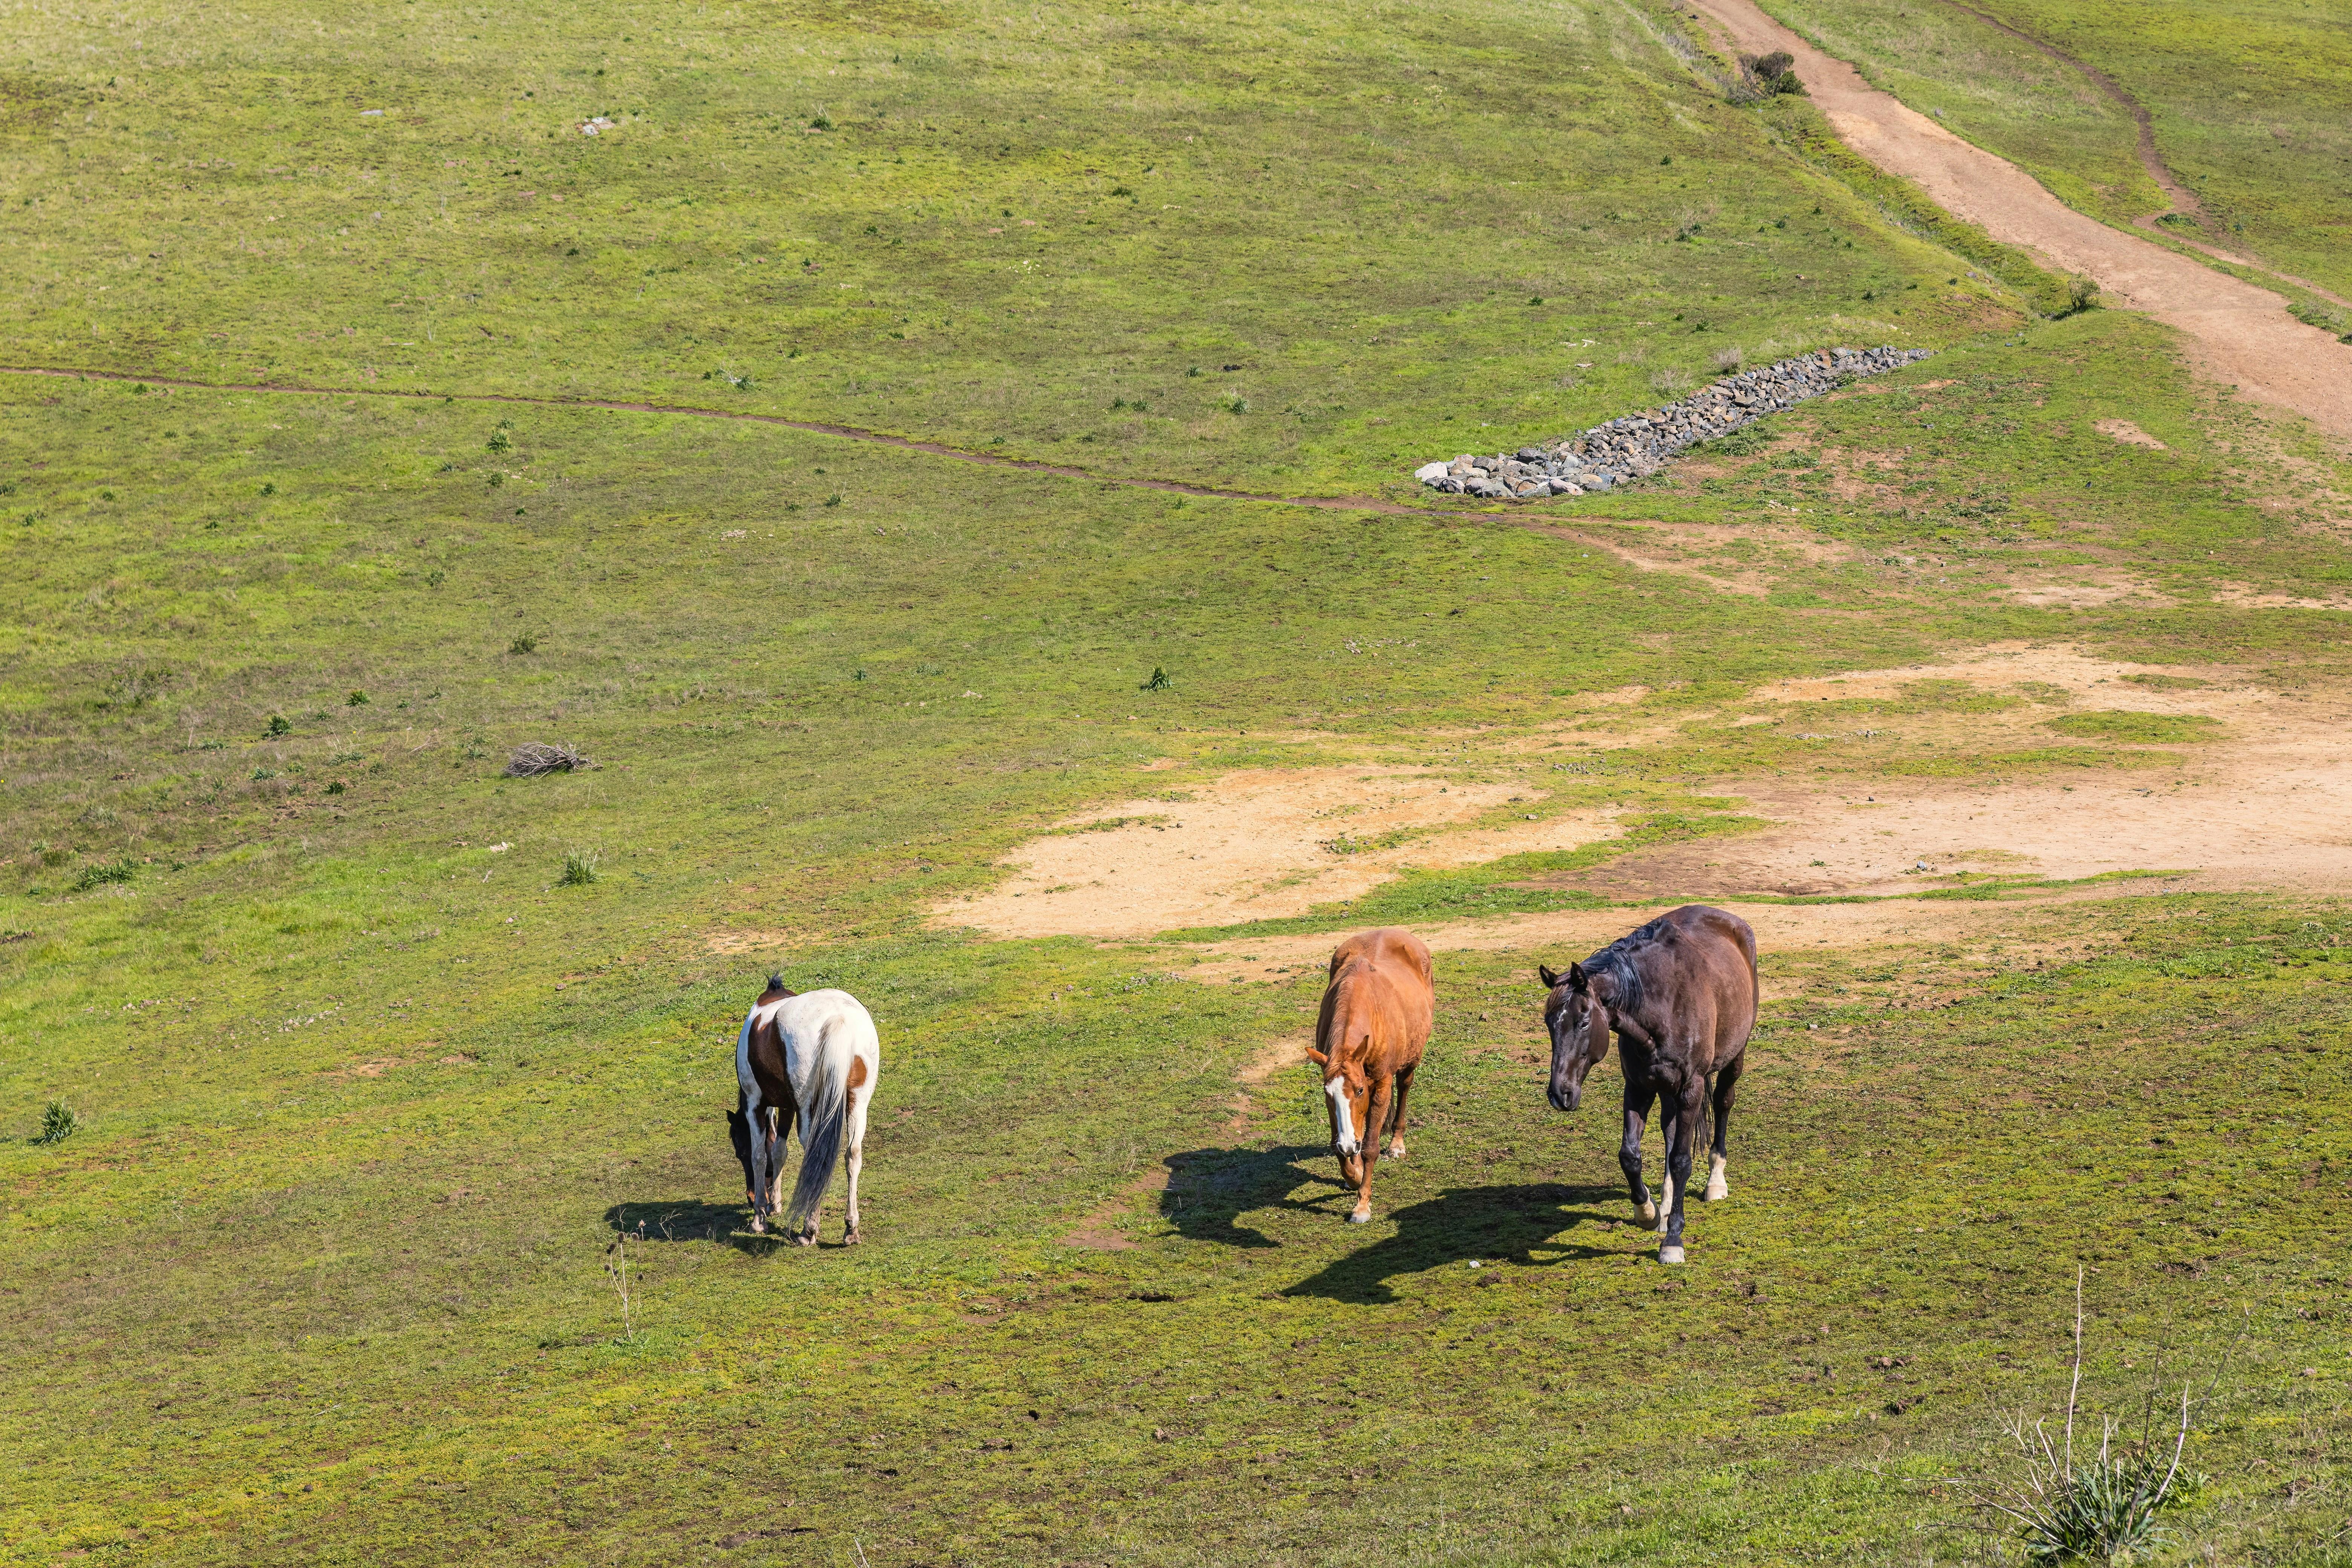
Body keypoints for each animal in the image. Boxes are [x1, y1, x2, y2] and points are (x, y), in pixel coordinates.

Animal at [726, 976, 881, 1245]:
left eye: (739, 1153)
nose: (749, 1197)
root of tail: (838, 1016)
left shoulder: (755, 1103)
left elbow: (760, 1155)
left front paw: (759, 1217)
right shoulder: (788, 1105)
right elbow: (779, 1150)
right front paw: (775, 1205)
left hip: (809, 1107)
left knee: (814, 1152)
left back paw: (808, 1230)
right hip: (858, 1102)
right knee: (853, 1154)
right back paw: (851, 1229)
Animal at [1306, 927, 1436, 1224]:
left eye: (1360, 1090)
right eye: (1327, 1094)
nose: (1348, 1146)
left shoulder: (1380, 1085)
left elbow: (1371, 1147)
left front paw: (1362, 1204)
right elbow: (1342, 1144)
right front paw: (1351, 1175)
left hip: (1409, 1063)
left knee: (1405, 1087)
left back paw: (1397, 1144)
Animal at [1539, 905, 1757, 1265]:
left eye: (1583, 1022)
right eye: (1548, 1023)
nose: (1560, 1094)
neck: (1661, 1006)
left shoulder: (1691, 1089)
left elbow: (1682, 1161)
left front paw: (1674, 1240)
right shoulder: (1639, 1087)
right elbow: (1630, 1156)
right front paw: (1649, 1213)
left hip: (1733, 1059)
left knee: (1724, 1103)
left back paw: (1715, 1183)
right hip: (1666, 1089)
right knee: (1670, 1130)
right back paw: (1665, 1209)